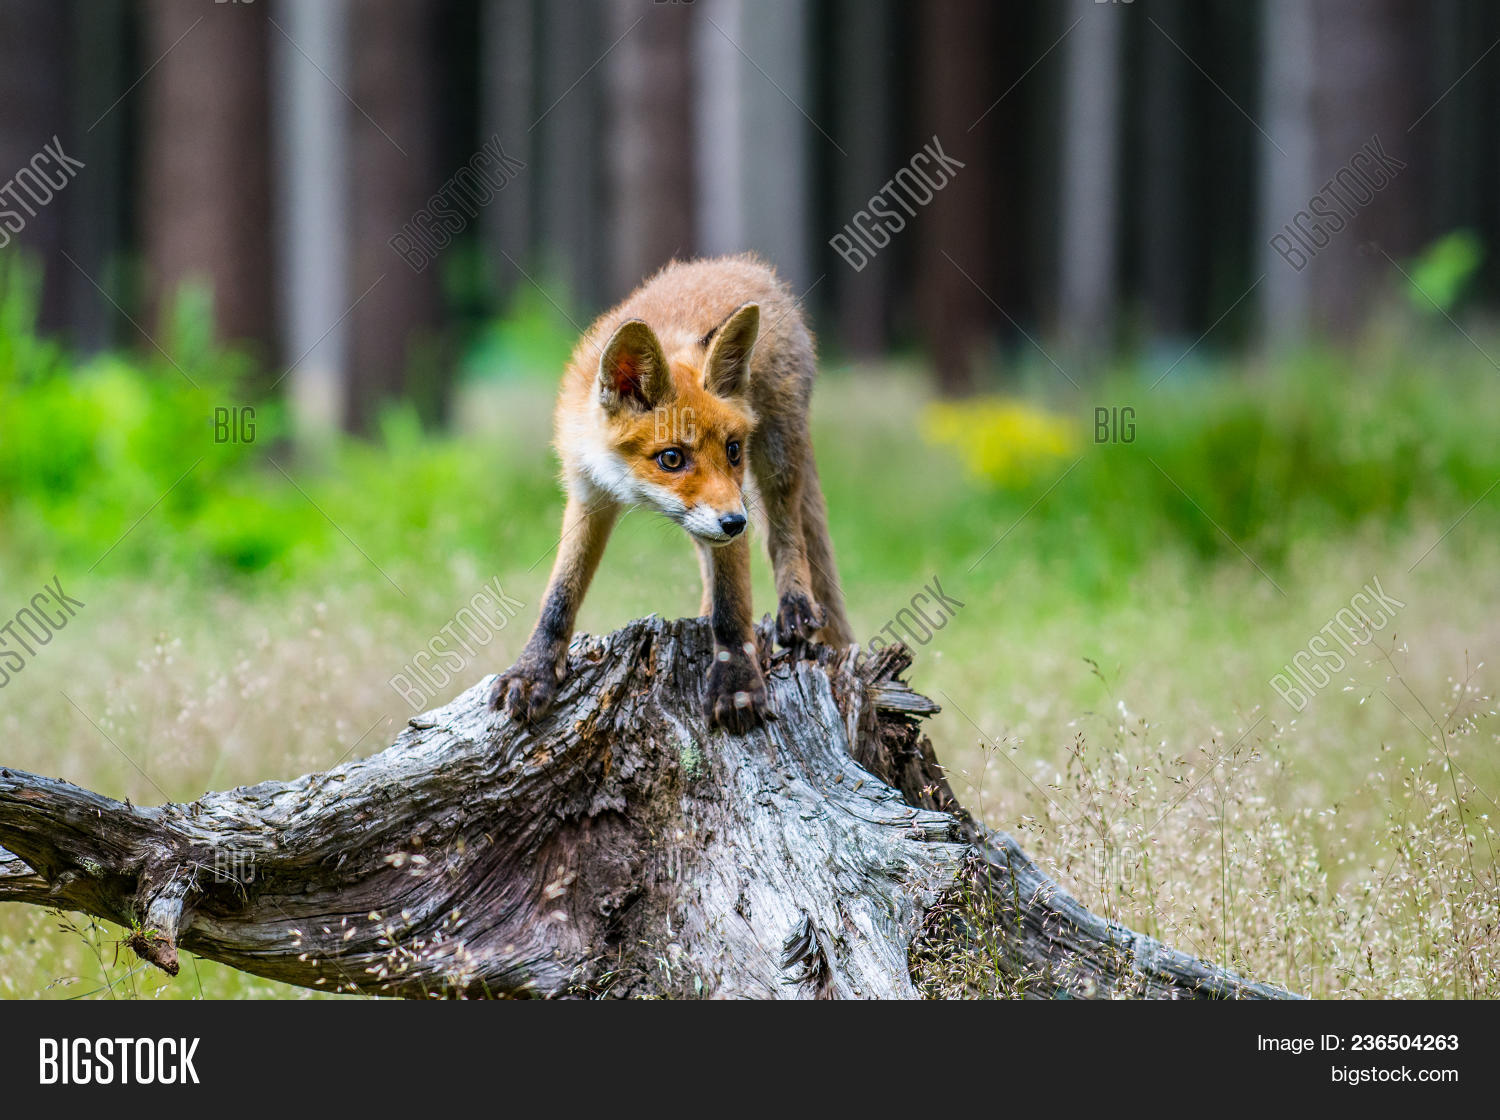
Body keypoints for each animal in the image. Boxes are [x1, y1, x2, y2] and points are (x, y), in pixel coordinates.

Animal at [489, 254, 853, 733]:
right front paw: (532, 671)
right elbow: (559, 595)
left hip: (776, 457)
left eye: (733, 450)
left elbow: (732, 604)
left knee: (786, 534)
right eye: (672, 458)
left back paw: (795, 604)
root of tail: (739, 264)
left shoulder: (732, 499)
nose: (736, 523)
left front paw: (736, 683)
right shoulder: (588, 495)